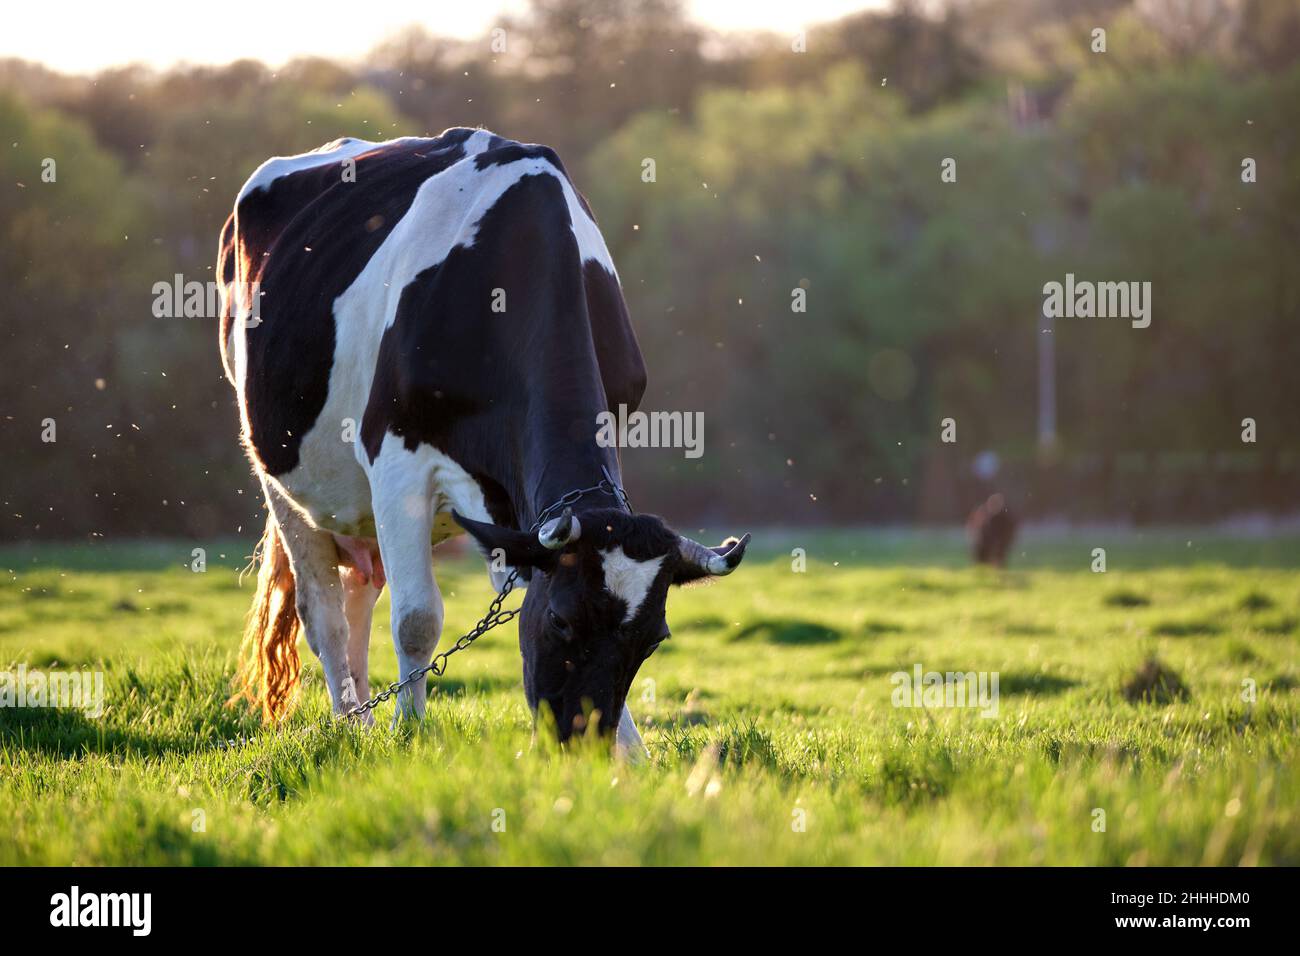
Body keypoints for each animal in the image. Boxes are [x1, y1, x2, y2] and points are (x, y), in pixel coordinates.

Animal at [217, 128, 749, 755]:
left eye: (653, 639)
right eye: (562, 619)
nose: (581, 743)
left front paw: (632, 754)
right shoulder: (395, 462)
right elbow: (417, 619)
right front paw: (410, 733)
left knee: (360, 595)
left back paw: (362, 723)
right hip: (276, 471)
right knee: (324, 614)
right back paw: (352, 725)